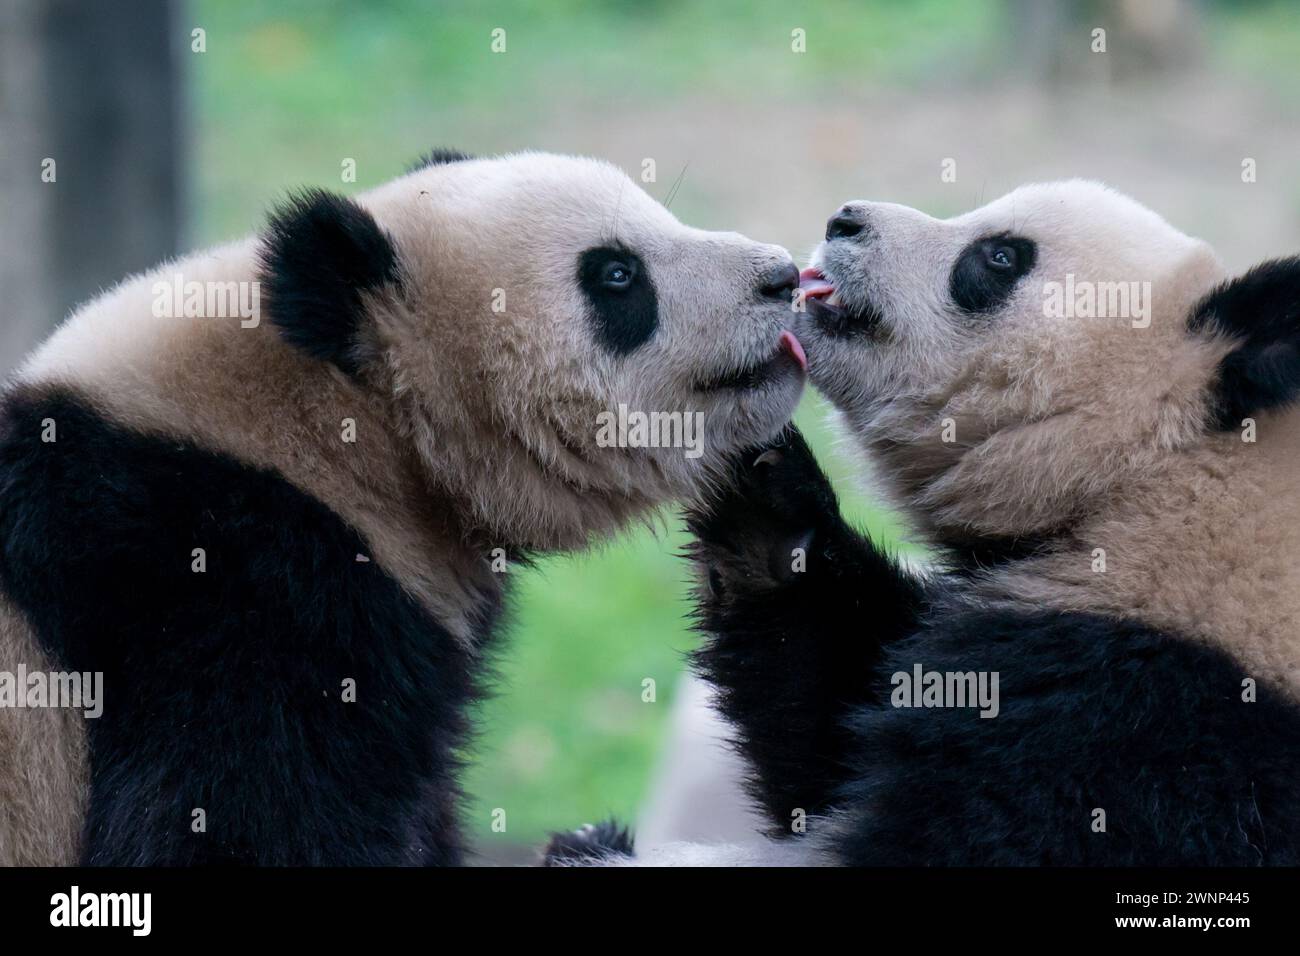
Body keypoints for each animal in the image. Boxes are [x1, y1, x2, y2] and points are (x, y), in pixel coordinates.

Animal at [558, 180, 1300, 866]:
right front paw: (768, 498)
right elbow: (829, 712)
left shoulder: (1154, 723)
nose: (845, 220)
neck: (1158, 477)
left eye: (1000, 257)